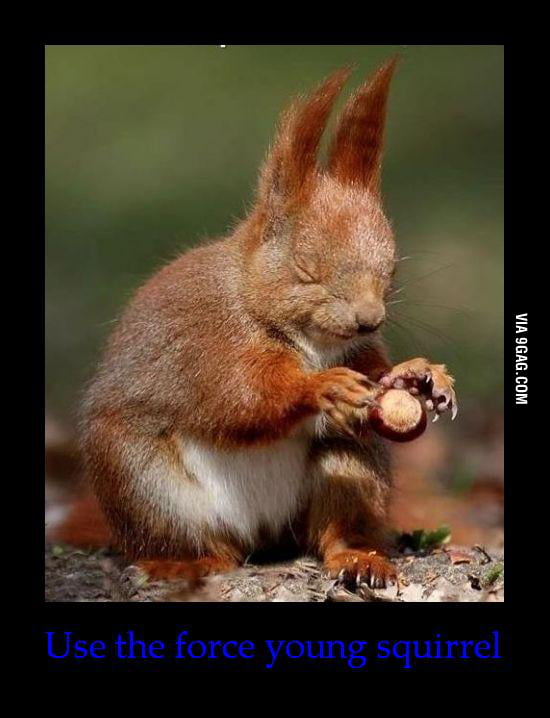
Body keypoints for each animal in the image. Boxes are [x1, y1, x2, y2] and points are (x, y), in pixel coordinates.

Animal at [51, 58, 457, 589]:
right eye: (306, 269)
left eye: (391, 269)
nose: (370, 319)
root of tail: (262, 536)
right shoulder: (208, 342)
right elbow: (241, 398)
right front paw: (320, 388)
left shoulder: (359, 350)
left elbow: (376, 373)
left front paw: (421, 375)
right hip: (143, 481)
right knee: (193, 541)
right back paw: (183, 562)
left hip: (351, 469)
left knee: (336, 524)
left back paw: (358, 557)